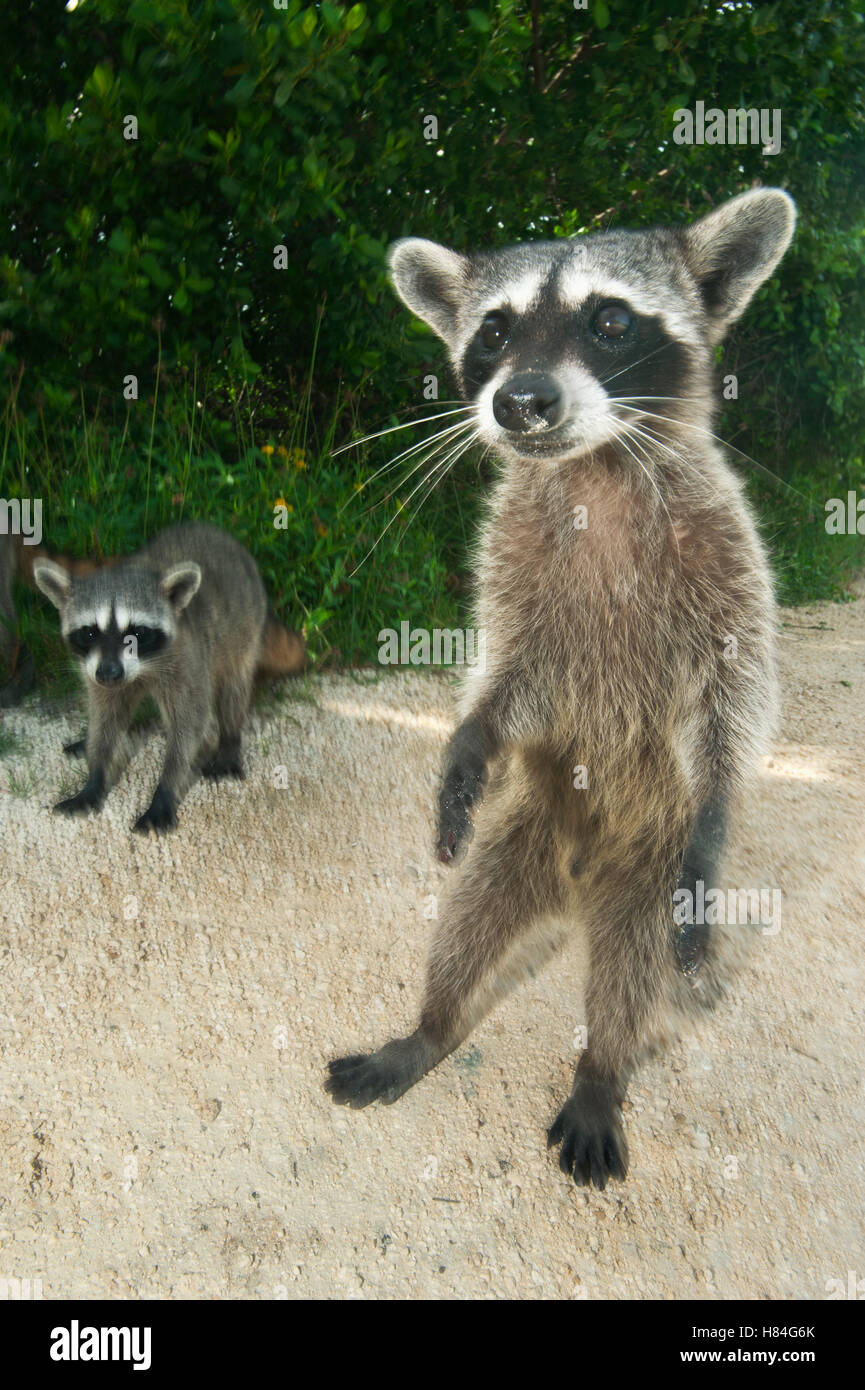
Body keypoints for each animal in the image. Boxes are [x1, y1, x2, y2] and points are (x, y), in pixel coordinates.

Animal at [33, 522, 281, 833]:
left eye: (138, 632)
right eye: (89, 632)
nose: (110, 674)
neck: (141, 669)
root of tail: (213, 530)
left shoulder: (186, 660)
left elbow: (189, 724)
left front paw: (165, 790)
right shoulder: (97, 672)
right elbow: (105, 717)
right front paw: (94, 776)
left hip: (244, 630)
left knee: (233, 690)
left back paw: (229, 740)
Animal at [327, 188, 796, 1188]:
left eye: (609, 321)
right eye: (494, 332)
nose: (520, 402)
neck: (595, 468)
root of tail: (575, 890)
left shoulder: (725, 549)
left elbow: (734, 699)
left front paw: (720, 801)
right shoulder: (514, 556)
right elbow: (507, 671)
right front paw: (469, 736)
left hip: (645, 866)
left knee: (630, 970)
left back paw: (598, 1072)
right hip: (519, 830)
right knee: (466, 922)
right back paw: (429, 1027)